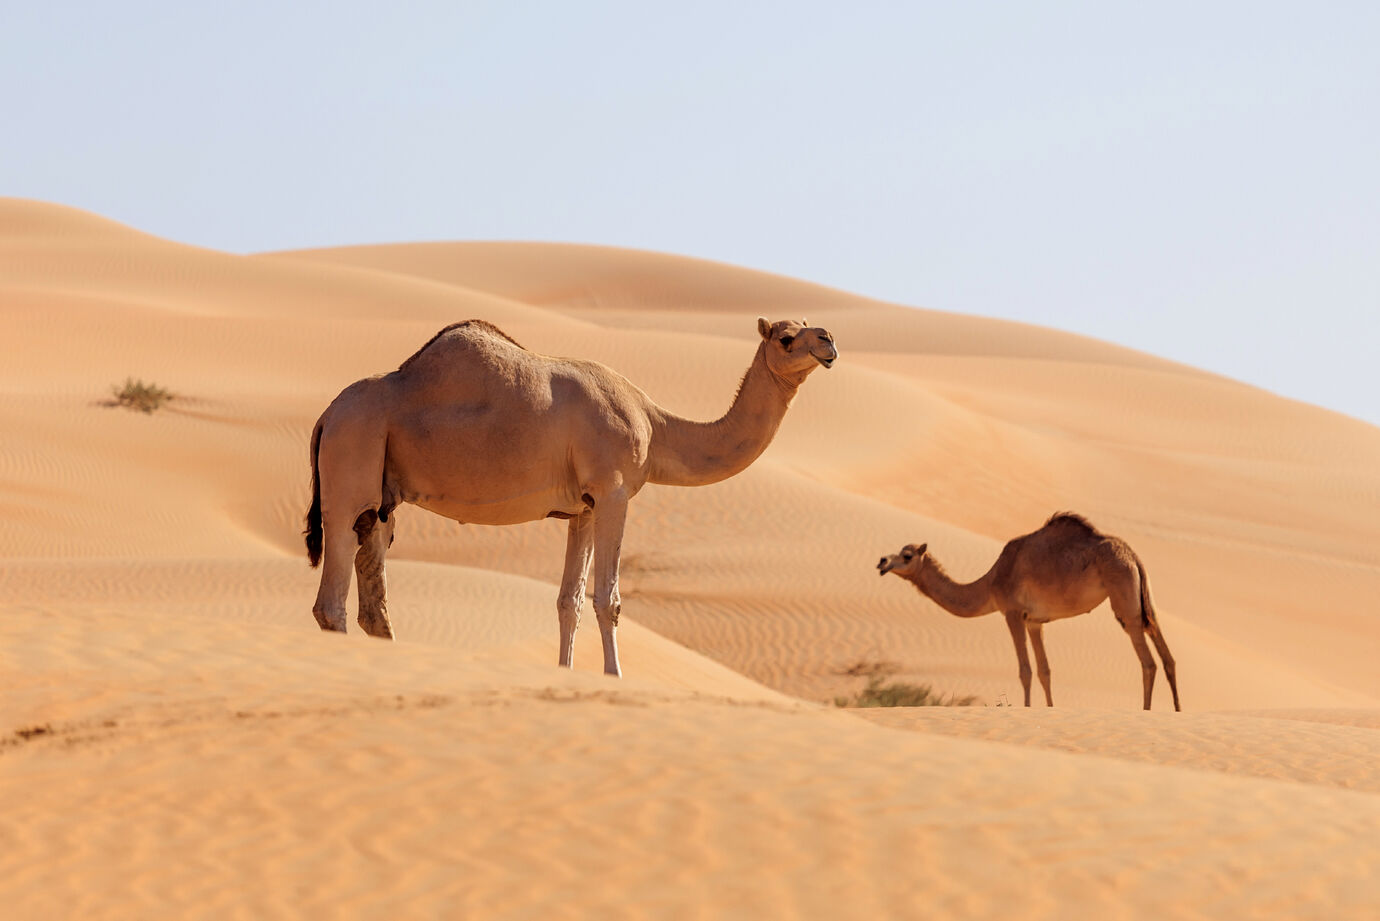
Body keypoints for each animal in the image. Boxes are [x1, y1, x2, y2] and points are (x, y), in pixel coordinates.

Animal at [305, 317, 837, 676]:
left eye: (806, 326)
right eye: (786, 337)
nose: (829, 340)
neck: (655, 426)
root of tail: (327, 415)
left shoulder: (583, 506)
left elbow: (570, 601)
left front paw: (567, 675)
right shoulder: (614, 490)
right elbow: (609, 599)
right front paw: (615, 678)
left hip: (382, 499)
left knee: (373, 599)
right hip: (352, 458)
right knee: (331, 599)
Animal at [876, 513, 1180, 710]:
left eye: (907, 555)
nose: (882, 561)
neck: (990, 583)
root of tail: (1133, 555)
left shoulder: (1012, 612)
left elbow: (1025, 670)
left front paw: (1026, 708)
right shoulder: (1035, 621)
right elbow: (1045, 670)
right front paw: (1049, 709)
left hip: (1122, 595)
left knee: (1148, 661)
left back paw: (1146, 711)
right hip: (1143, 598)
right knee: (1167, 655)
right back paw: (1177, 710)